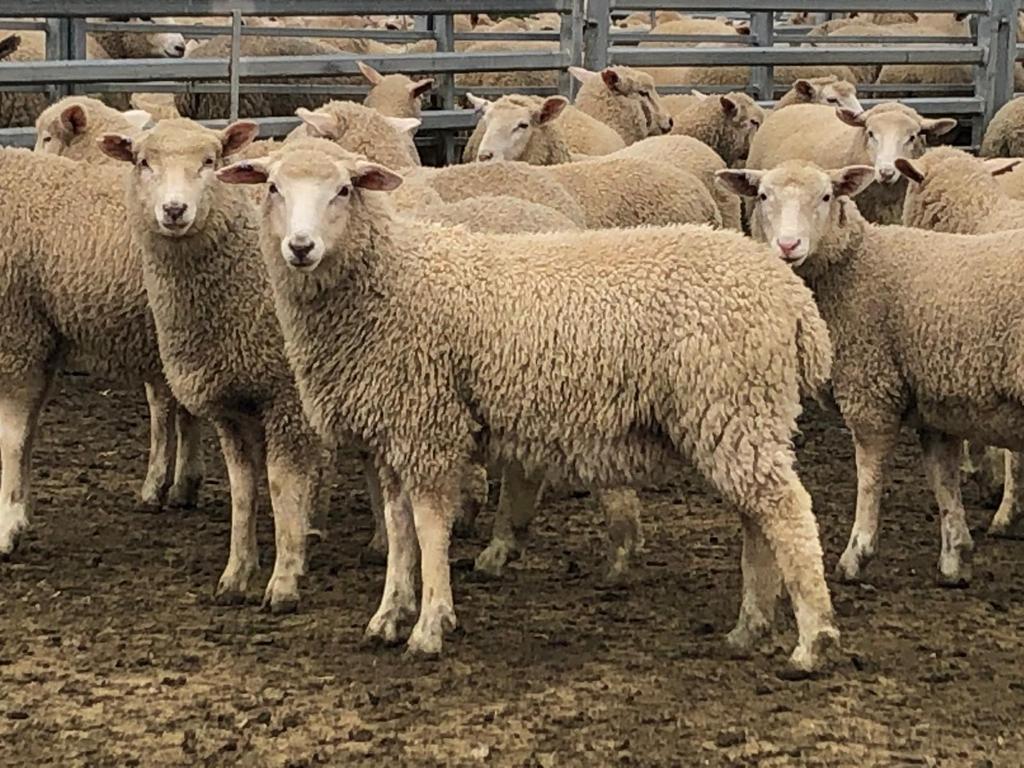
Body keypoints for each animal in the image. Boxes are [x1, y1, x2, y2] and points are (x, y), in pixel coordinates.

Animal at [97, 118, 334, 611]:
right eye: (143, 161)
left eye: (210, 161)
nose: (174, 210)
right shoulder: (232, 408)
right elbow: (242, 489)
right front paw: (236, 575)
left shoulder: (286, 399)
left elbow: (281, 484)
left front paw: (284, 582)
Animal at [219, 137, 839, 672]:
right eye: (272, 187)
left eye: (344, 190)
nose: (300, 247)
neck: (390, 278)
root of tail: (792, 297)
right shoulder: (398, 429)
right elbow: (398, 529)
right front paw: (390, 614)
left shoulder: (427, 422)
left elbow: (429, 526)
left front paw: (430, 625)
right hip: (741, 415)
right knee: (757, 516)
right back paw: (750, 627)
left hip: (730, 404)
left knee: (786, 513)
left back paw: (813, 639)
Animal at [718, 158, 1024, 587]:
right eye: (763, 195)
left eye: (826, 196)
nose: (788, 246)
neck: (854, 265)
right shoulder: (933, 400)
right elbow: (943, 480)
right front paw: (955, 557)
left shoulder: (870, 391)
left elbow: (870, 475)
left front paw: (856, 553)